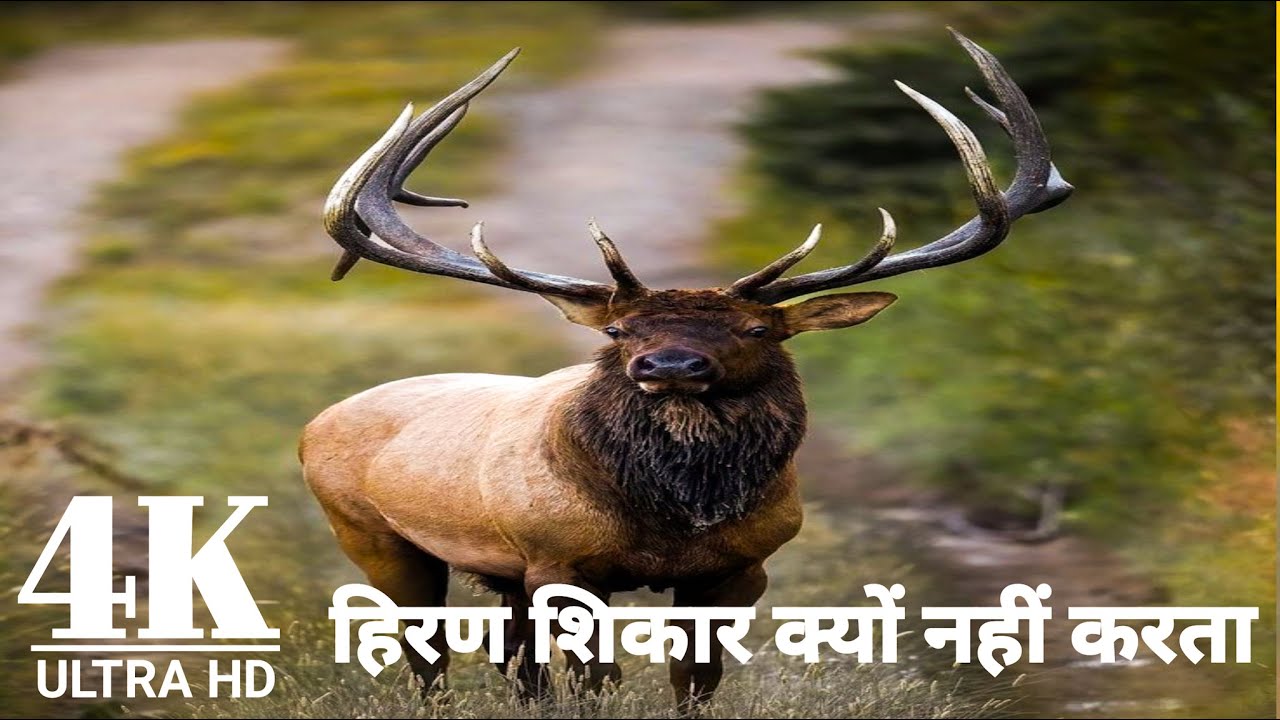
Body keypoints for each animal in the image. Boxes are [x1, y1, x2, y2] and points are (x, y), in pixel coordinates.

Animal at [300, 29, 1072, 711]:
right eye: (618, 330)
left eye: (757, 328)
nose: (670, 363)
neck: (673, 521)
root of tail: (313, 425)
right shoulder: (560, 562)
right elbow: (598, 681)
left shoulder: (741, 569)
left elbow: (694, 681)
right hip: (371, 534)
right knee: (428, 657)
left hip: (500, 569)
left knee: (515, 663)